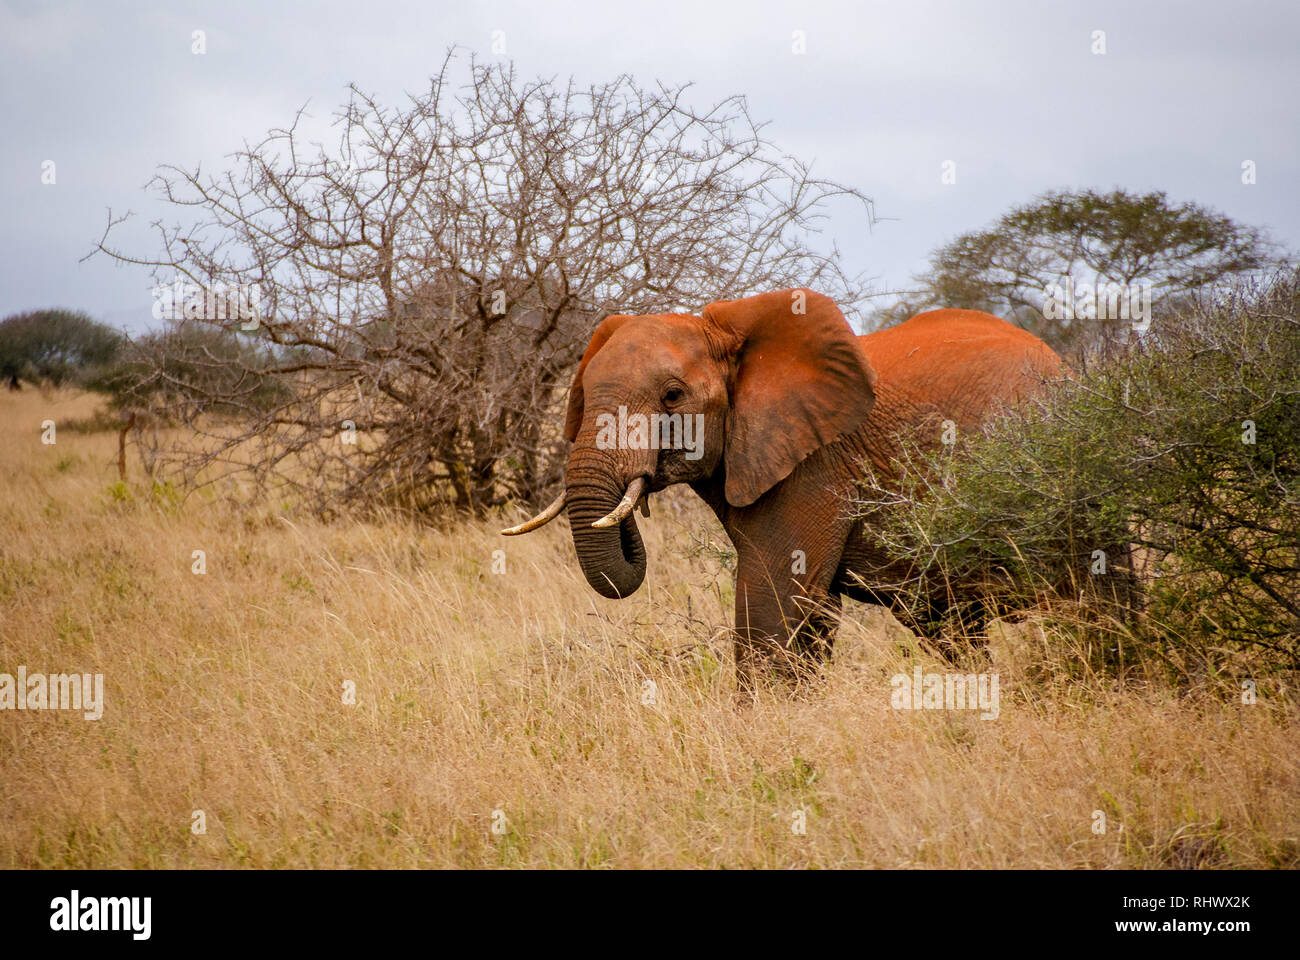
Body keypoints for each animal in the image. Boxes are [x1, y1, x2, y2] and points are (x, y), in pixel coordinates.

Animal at [503, 289, 1064, 690]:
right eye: (581, 393)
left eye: (673, 396)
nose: (636, 503)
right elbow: (813, 612)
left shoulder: (815, 462)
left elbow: (774, 600)